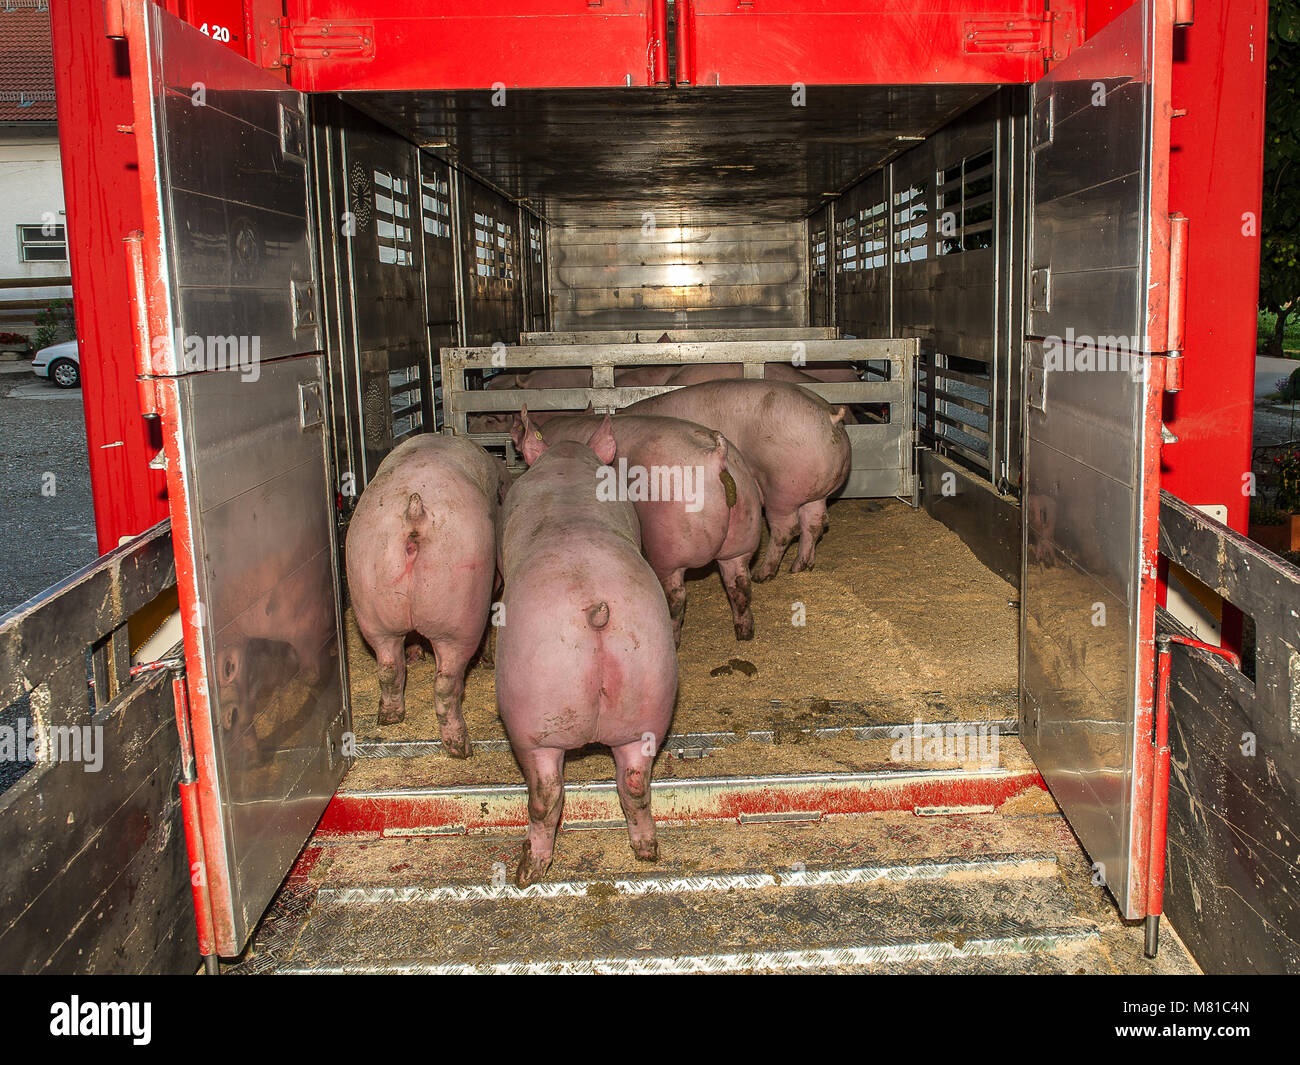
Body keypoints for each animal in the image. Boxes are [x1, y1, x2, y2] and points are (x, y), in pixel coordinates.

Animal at [345, 434, 508, 754]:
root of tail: (415, 512)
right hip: (460, 611)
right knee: (446, 682)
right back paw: (460, 747)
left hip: (370, 594)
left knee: (387, 667)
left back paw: (390, 716)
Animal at [496, 416, 678, 886]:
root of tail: (596, 611)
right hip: (650, 687)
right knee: (634, 782)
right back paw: (646, 851)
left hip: (531, 711)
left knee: (546, 794)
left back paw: (527, 870)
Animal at [516, 408, 764, 642]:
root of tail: (717, 456)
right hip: (742, 539)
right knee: (740, 585)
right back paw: (745, 634)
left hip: (668, 551)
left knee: (677, 598)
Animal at [626, 379, 851, 581]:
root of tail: (831, 417)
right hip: (816, 492)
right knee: (815, 523)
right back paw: (800, 567)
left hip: (781, 490)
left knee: (787, 529)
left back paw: (762, 575)